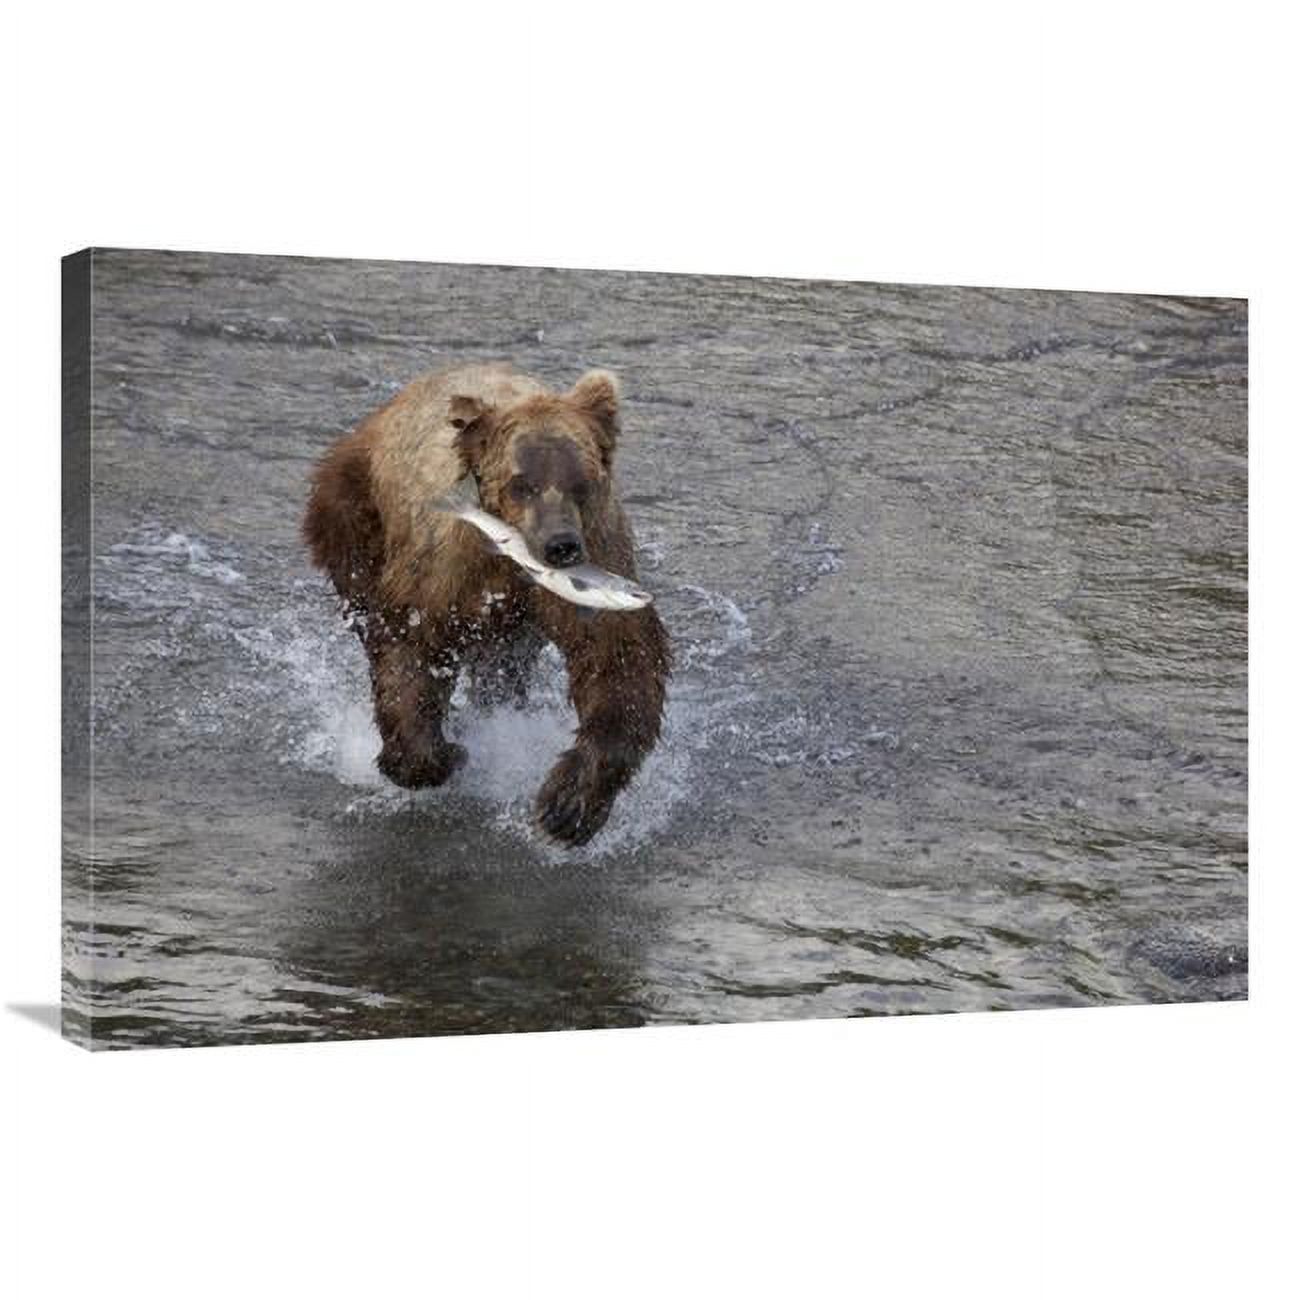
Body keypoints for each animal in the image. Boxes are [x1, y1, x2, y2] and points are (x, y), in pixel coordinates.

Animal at [303, 362, 671, 847]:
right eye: (522, 484)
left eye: (582, 482)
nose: (561, 546)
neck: (509, 562)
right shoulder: (442, 570)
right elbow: (410, 647)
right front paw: (439, 754)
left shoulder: (599, 553)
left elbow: (618, 661)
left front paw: (567, 806)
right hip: (355, 508)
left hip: (514, 626)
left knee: (504, 665)